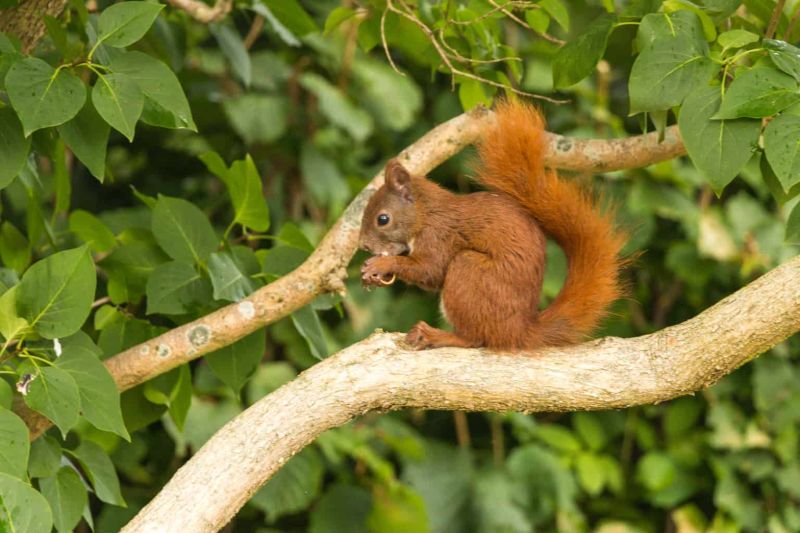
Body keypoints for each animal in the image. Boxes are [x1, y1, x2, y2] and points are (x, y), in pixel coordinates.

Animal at [358, 99, 626, 351]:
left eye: (383, 219)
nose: (364, 246)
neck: (426, 214)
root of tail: (518, 332)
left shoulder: (438, 237)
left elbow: (430, 271)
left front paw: (382, 264)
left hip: (469, 271)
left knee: (476, 338)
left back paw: (435, 335)